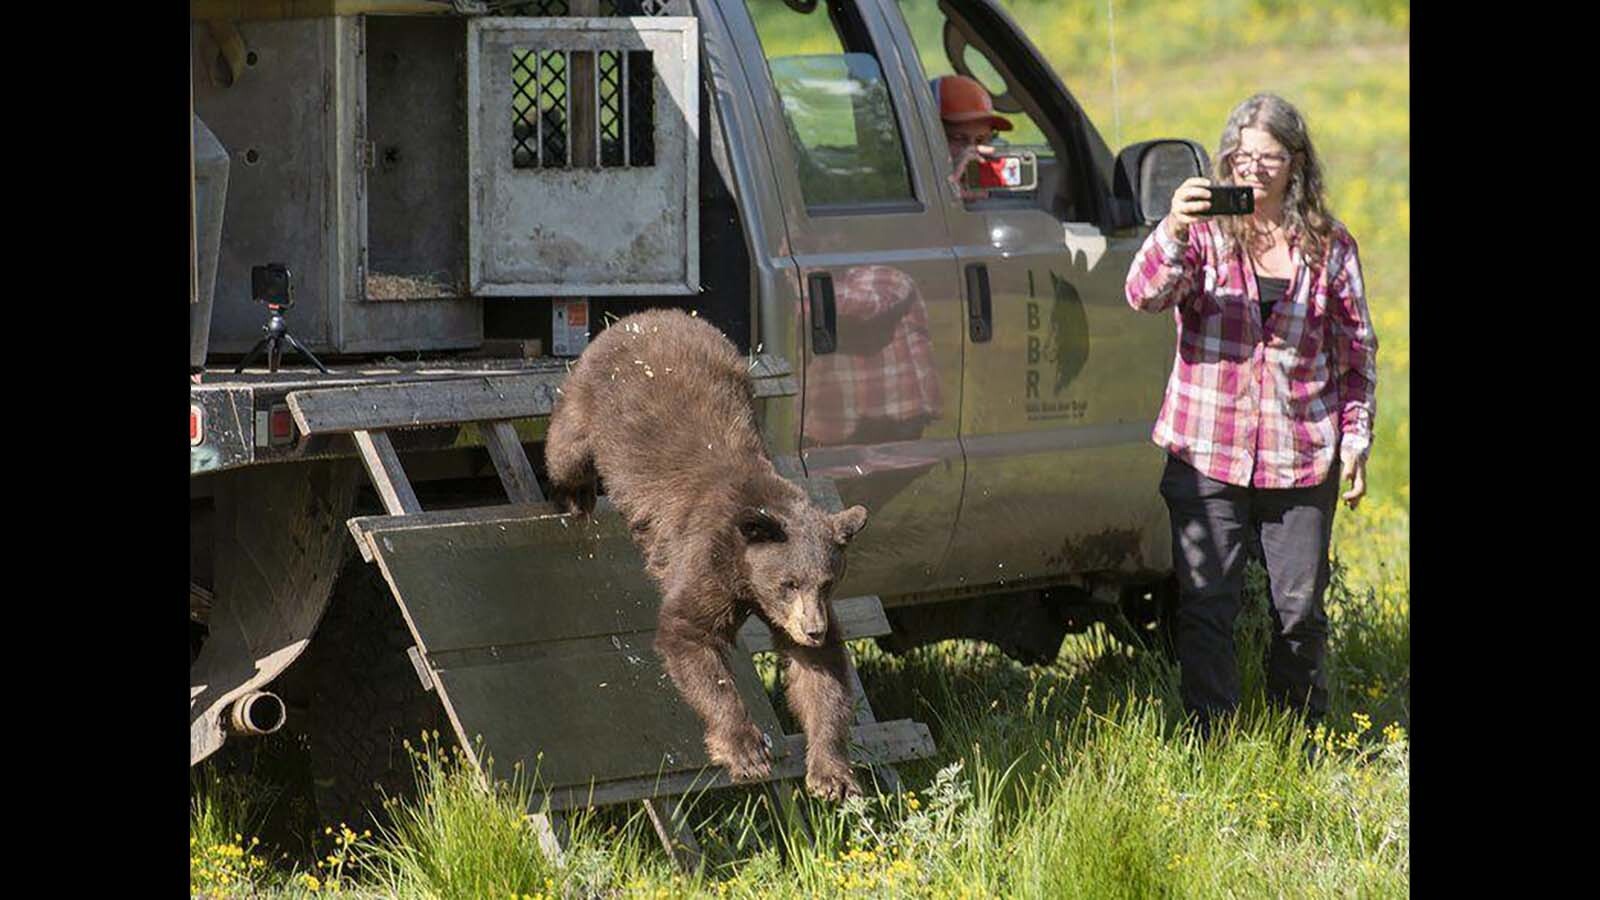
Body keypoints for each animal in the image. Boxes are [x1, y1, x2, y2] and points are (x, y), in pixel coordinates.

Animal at [544, 308, 869, 801]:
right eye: (788, 582)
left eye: (828, 582)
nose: (813, 629)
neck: (746, 576)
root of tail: (648, 315)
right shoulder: (707, 559)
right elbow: (690, 635)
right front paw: (746, 750)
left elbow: (818, 675)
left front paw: (832, 774)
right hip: (590, 398)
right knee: (566, 448)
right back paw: (573, 497)